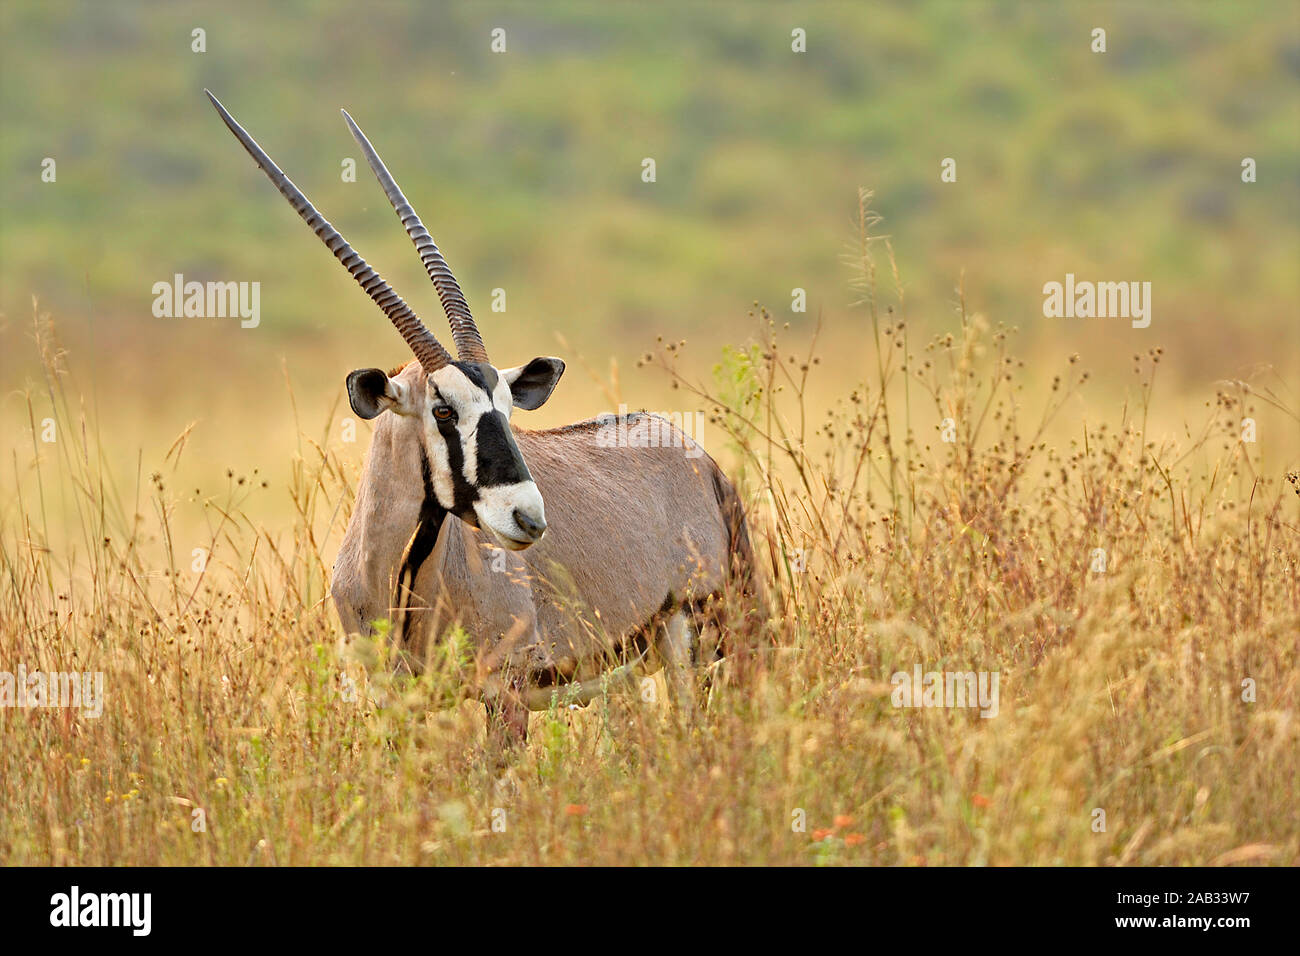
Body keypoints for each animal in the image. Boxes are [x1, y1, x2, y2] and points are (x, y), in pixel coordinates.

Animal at [206, 91, 763, 746]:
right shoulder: (393, 702)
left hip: (694, 636)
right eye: (443, 409)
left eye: (507, 407)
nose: (528, 517)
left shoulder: (507, 691)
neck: (397, 575)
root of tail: (698, 458)